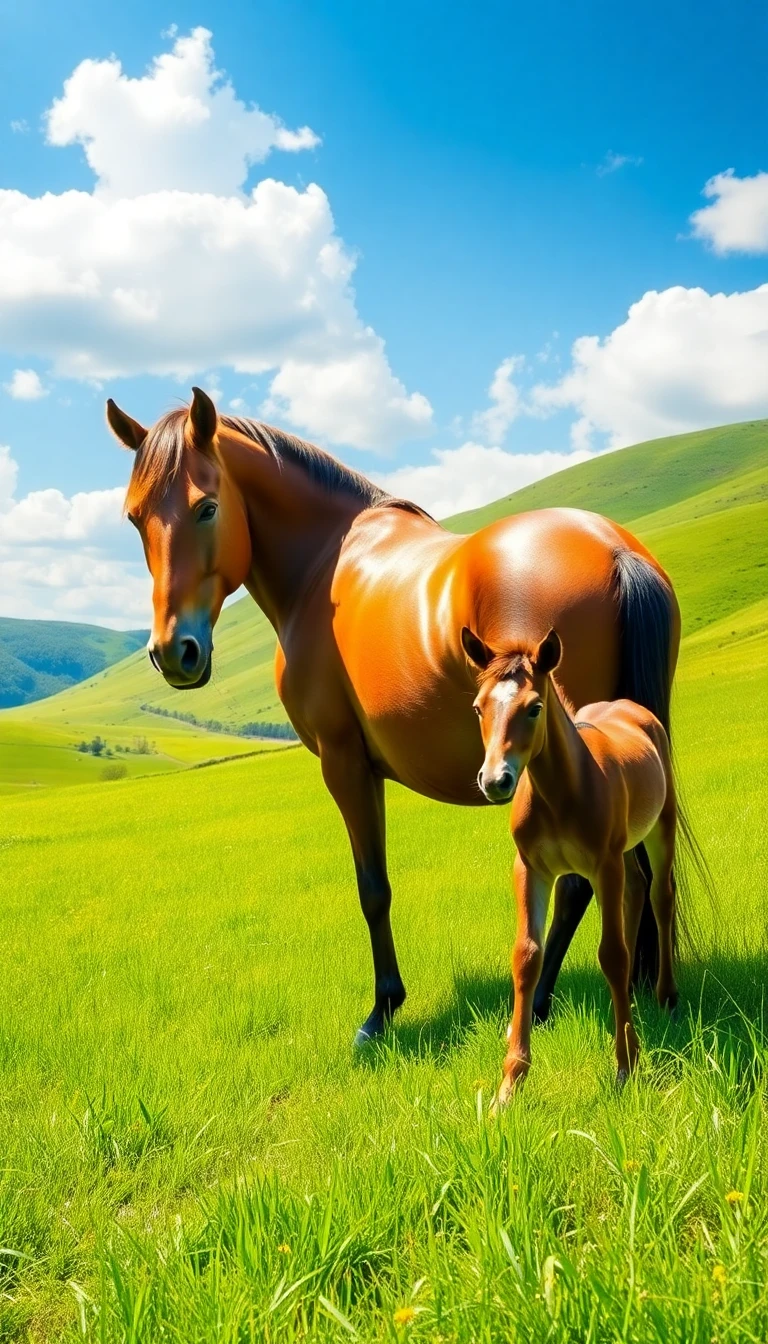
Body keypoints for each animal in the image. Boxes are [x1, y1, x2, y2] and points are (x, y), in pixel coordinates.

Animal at [107, 386, 685, 1045]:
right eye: (135, 518)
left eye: (205, 508)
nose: (173, 652)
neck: (324, 564)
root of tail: (613, 549)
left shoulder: (344, 762)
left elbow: (372, 888)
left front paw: (382, 1009)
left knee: (581, 888)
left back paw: (539, 1005)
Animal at [463, 624, 678, 1104]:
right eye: (479, 707)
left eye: (534, 708)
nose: (495, 780)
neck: (561, 793)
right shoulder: (531, 870)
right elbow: (527, 956)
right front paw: (509, 1085)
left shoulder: (602, 865)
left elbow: (612, 954)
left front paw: (626, 1065)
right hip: (623, 852)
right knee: (636, 889)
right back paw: (631, 996)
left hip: (660, 827)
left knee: (659, 895)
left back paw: (666, 995)